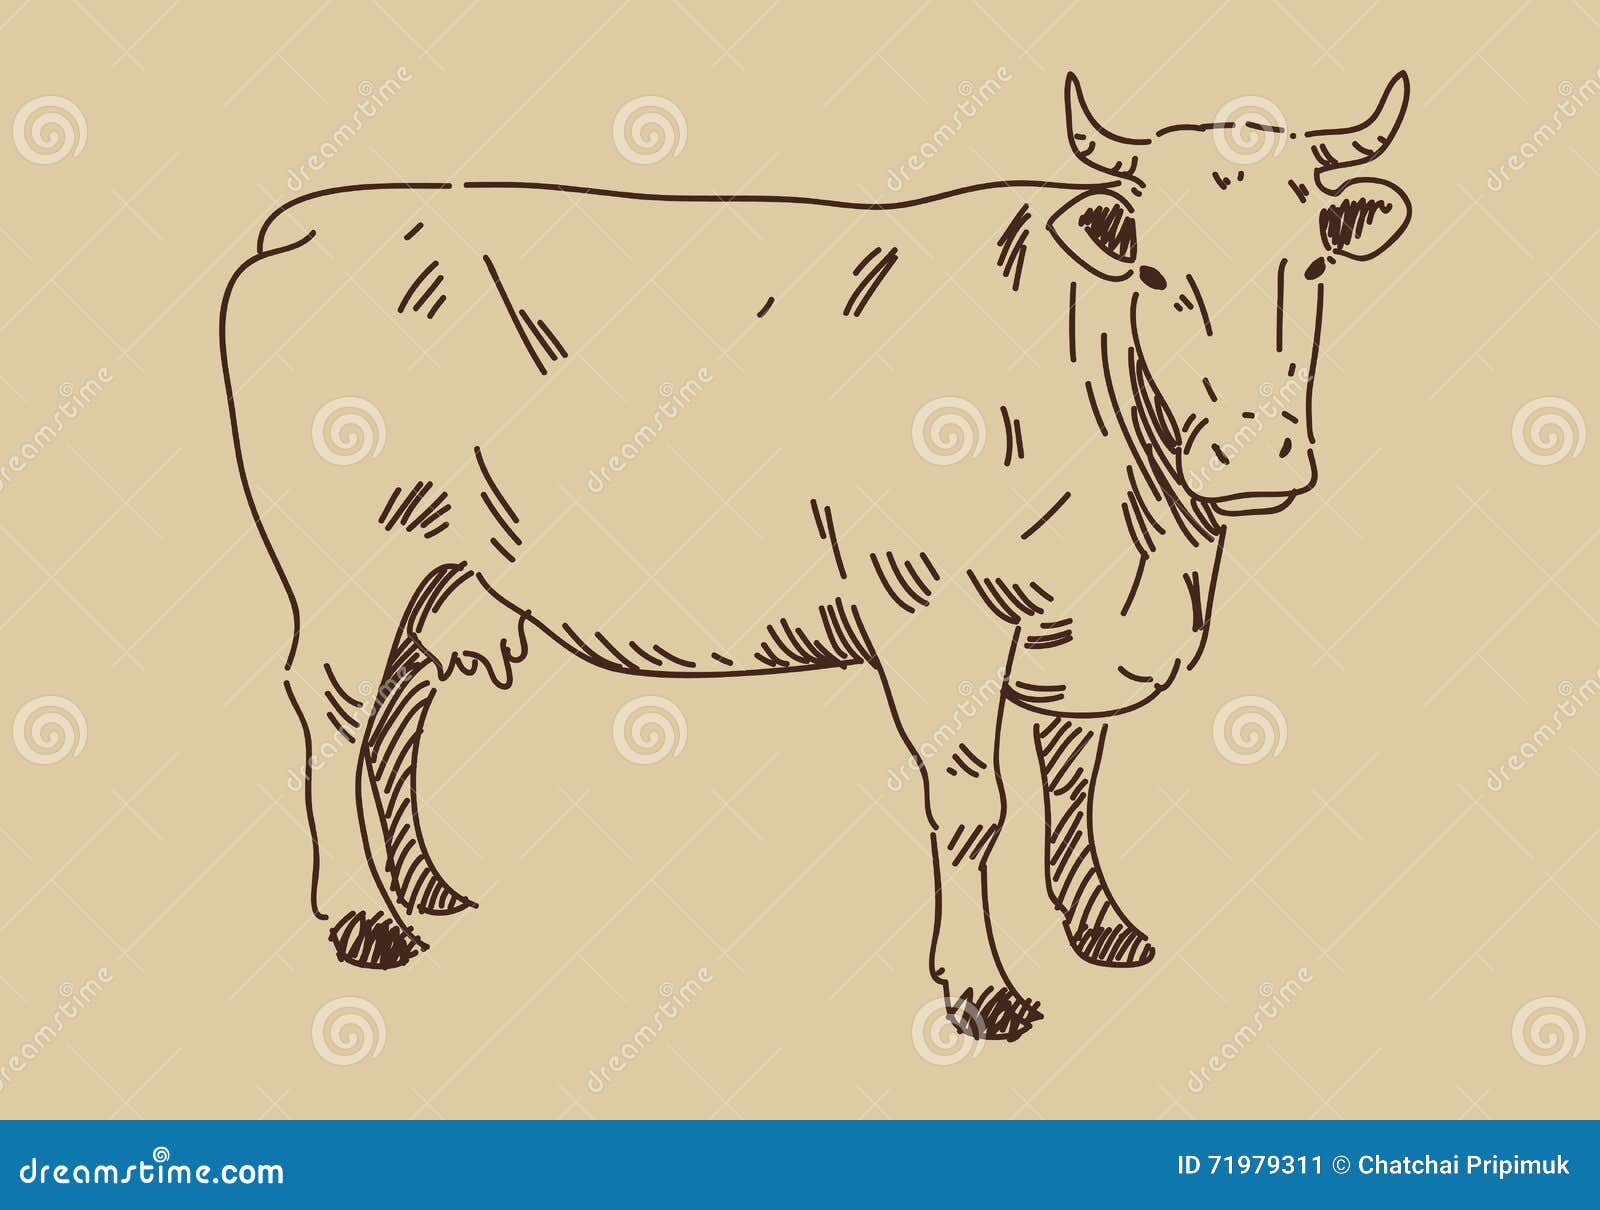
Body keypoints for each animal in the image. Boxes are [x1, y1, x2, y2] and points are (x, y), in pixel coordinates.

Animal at [221, 71, 1411, 1042]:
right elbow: (975, 805)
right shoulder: (938, 617)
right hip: (343, 565)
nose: (1254, 450)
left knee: (402, 704)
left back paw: (423, 887)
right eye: (1158, 275)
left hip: (441, 569)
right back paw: (364, 915)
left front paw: (1101, 926)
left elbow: (1075, 780)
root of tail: (311, 220)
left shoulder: (1083, 628)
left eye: (1311, 263)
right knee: (332, 706)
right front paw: (982, 989)